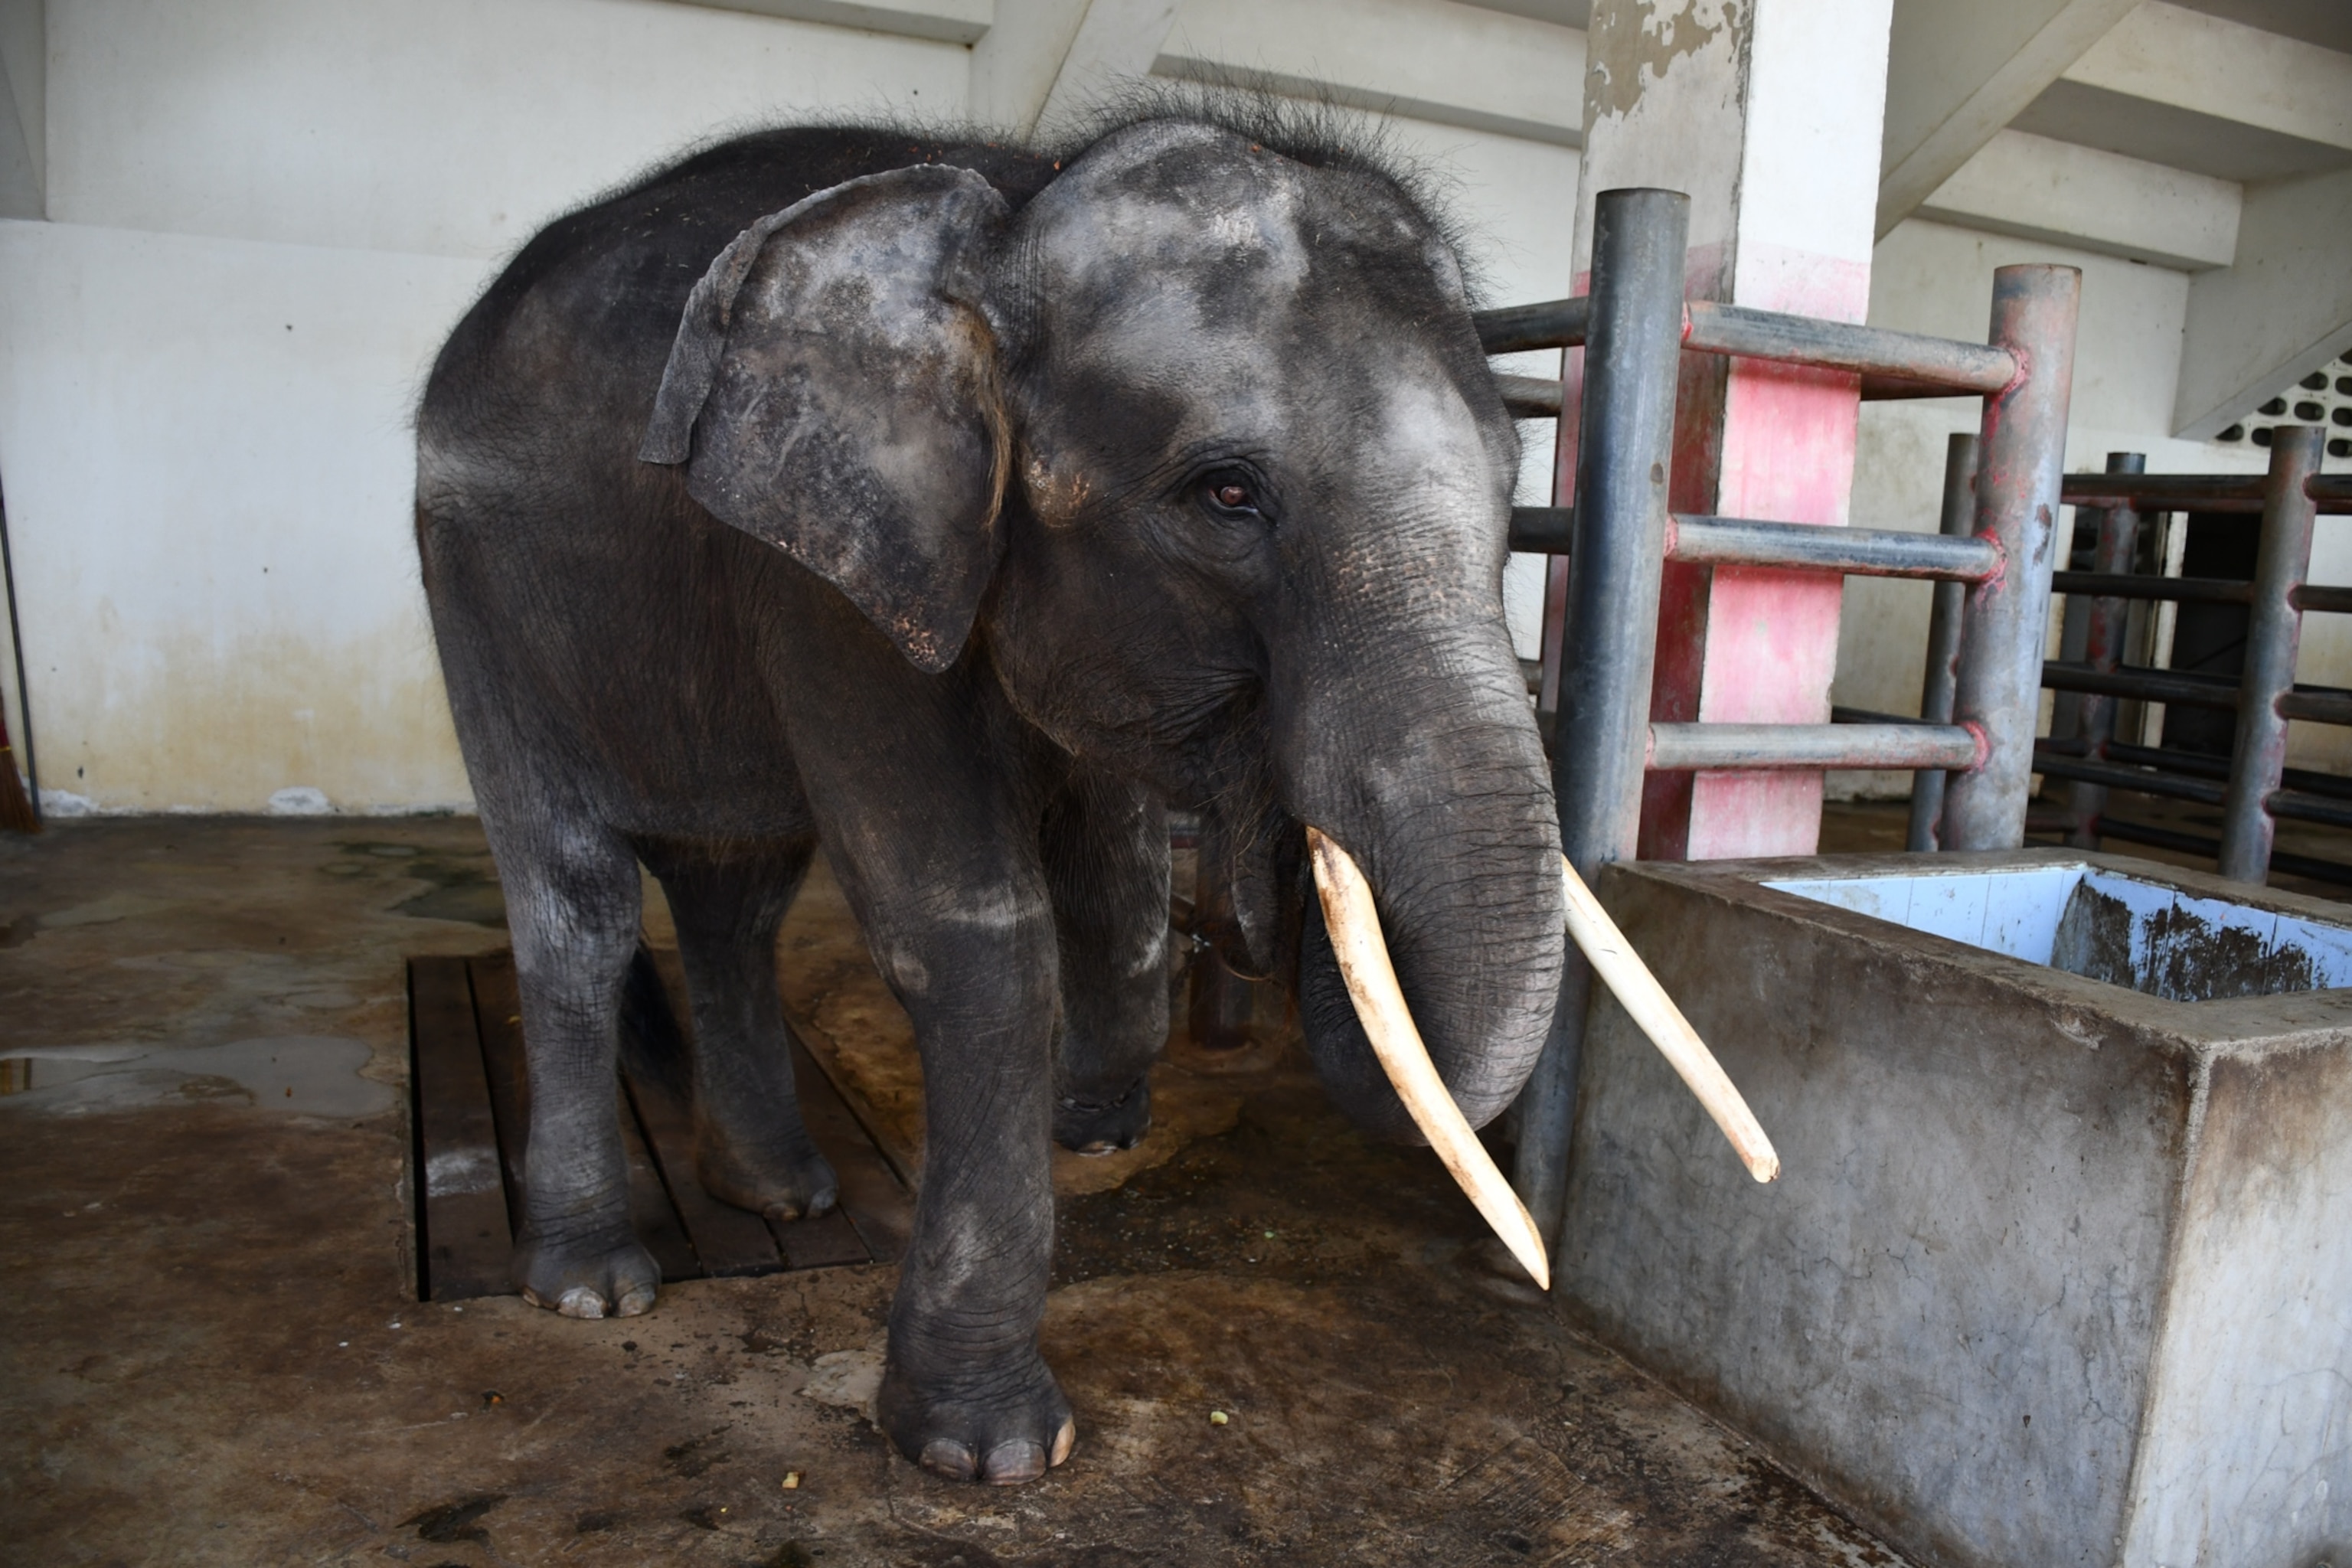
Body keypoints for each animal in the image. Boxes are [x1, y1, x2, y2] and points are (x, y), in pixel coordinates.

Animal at [413, 109, 1566, 1485]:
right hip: (474, 586)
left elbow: (1117, 887)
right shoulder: (830, 568)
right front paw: (991, 1450)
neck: (1018, 206)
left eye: (1514, 487)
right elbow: (972, 934)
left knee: (737, 890)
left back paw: (779, 1194)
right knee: (576, 901)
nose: (1282, 872)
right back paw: (594, 1284)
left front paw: (1097, 1123)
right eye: (1227, 495)